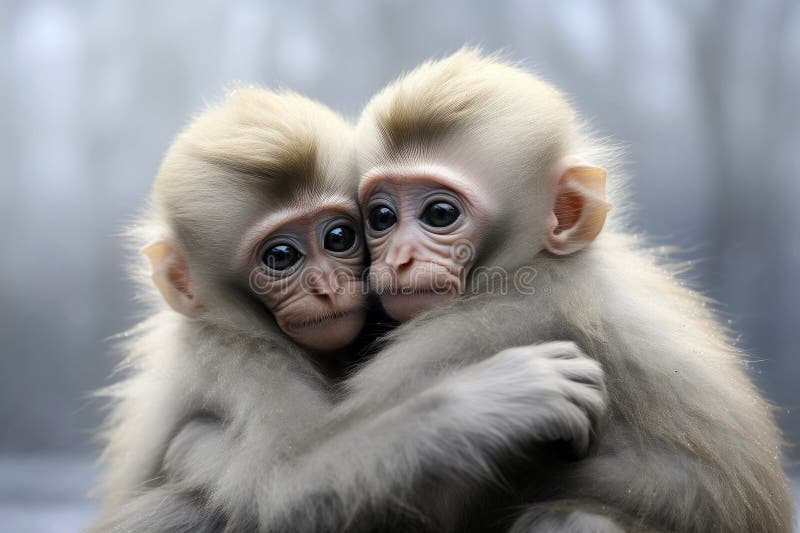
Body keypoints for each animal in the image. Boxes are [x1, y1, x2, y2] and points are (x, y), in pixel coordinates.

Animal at [90, 84, 608, 532]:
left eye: (339, 237)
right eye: (280, 257)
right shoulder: (233, 353)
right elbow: (283, 487)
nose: (326, 285)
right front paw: (491, 397)